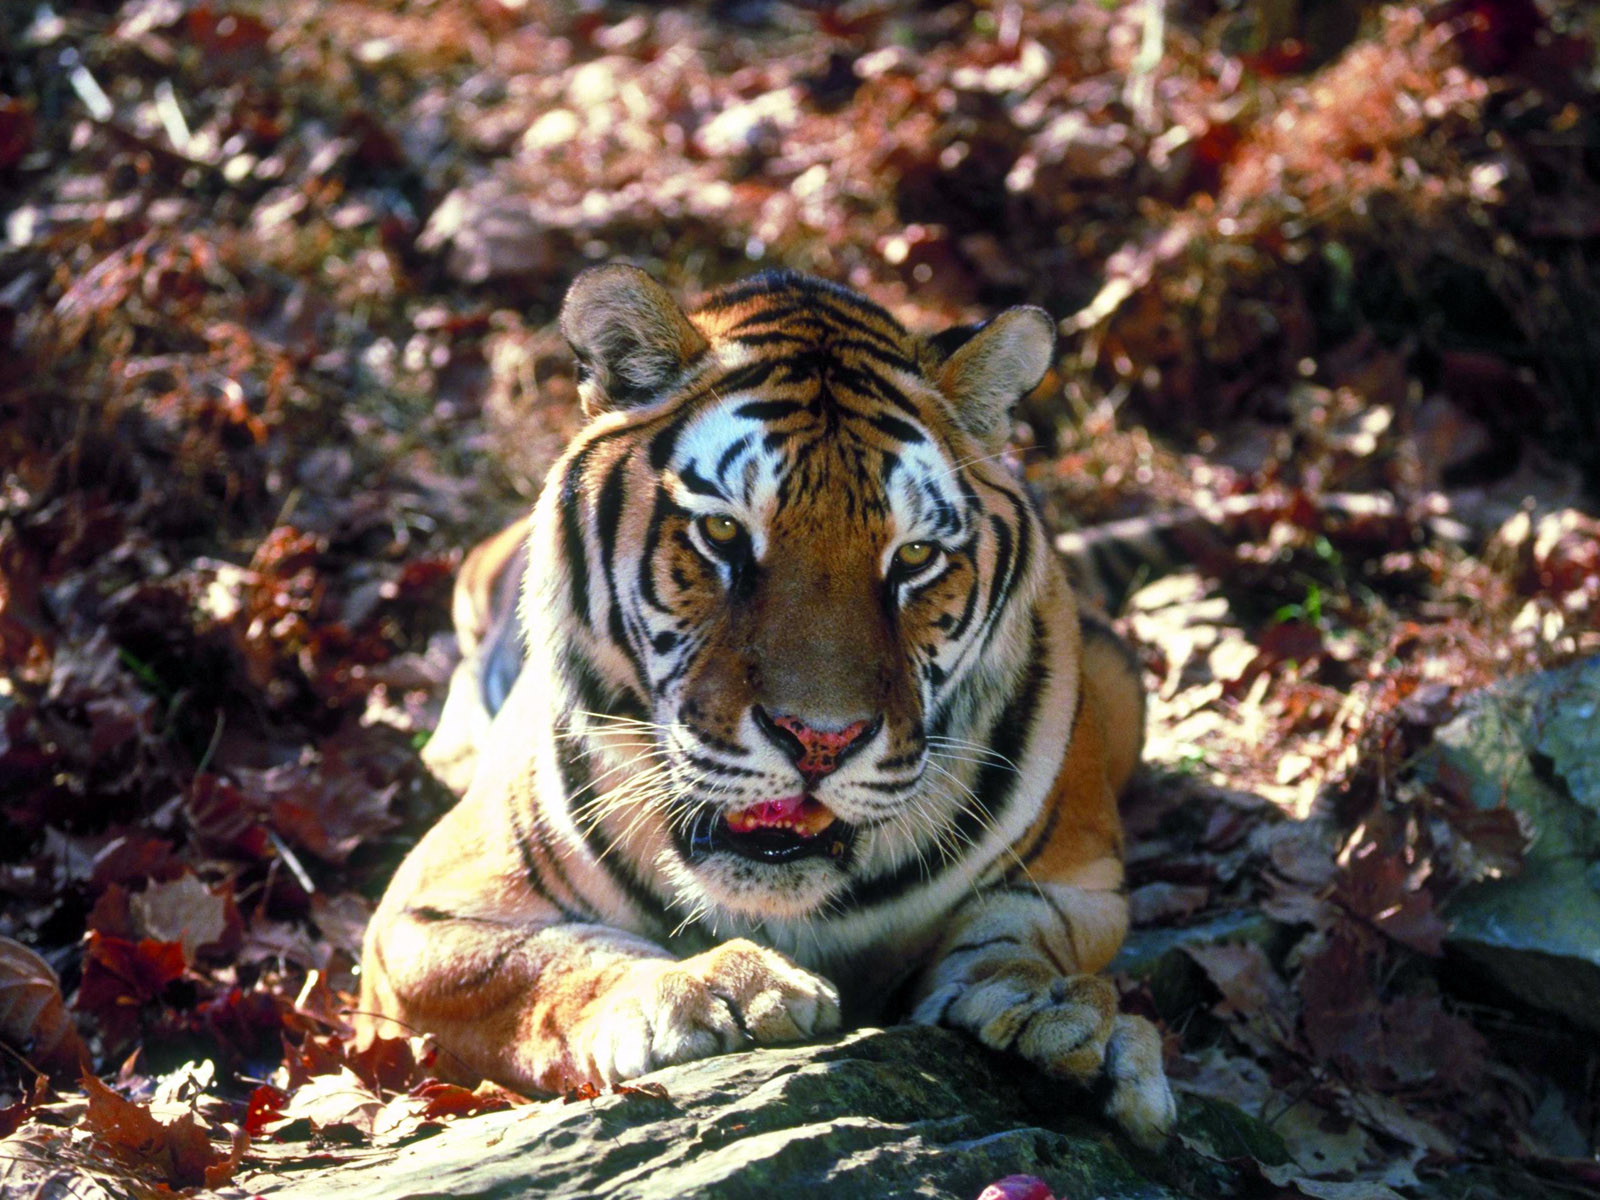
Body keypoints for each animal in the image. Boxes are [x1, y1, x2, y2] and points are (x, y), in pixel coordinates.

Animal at [357, 265, 1176, 1147]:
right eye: (722, 532)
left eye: (916, 555)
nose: (820, 740)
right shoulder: (425, 917)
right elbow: (551, 964)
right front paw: (708, 990)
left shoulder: (1078, 882)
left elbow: (1021, 943)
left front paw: (1067, 1023)